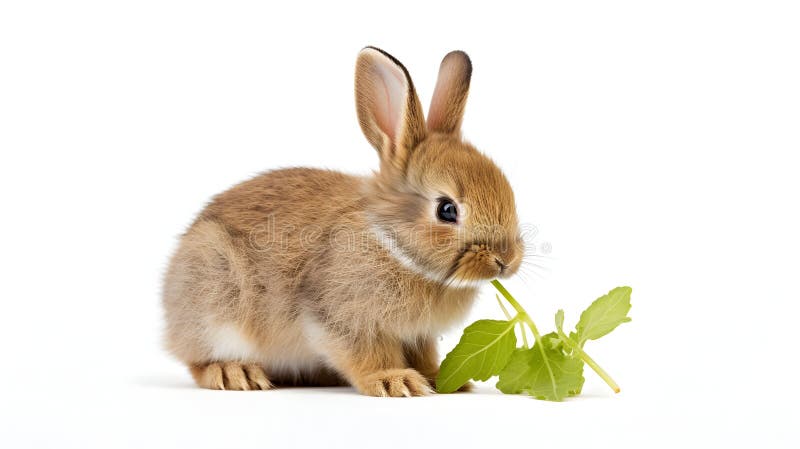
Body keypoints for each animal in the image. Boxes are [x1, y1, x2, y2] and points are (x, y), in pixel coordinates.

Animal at [162, 47, 523, 396]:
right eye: (446, 210)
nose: (506, 260)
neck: (392, 245)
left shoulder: (419, 336)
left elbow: (424, 357)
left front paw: (443, 380)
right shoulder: (341, 319)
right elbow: (367, 355)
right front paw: (394, 381)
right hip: (214, 297)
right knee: (199, 361)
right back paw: (235, 374)